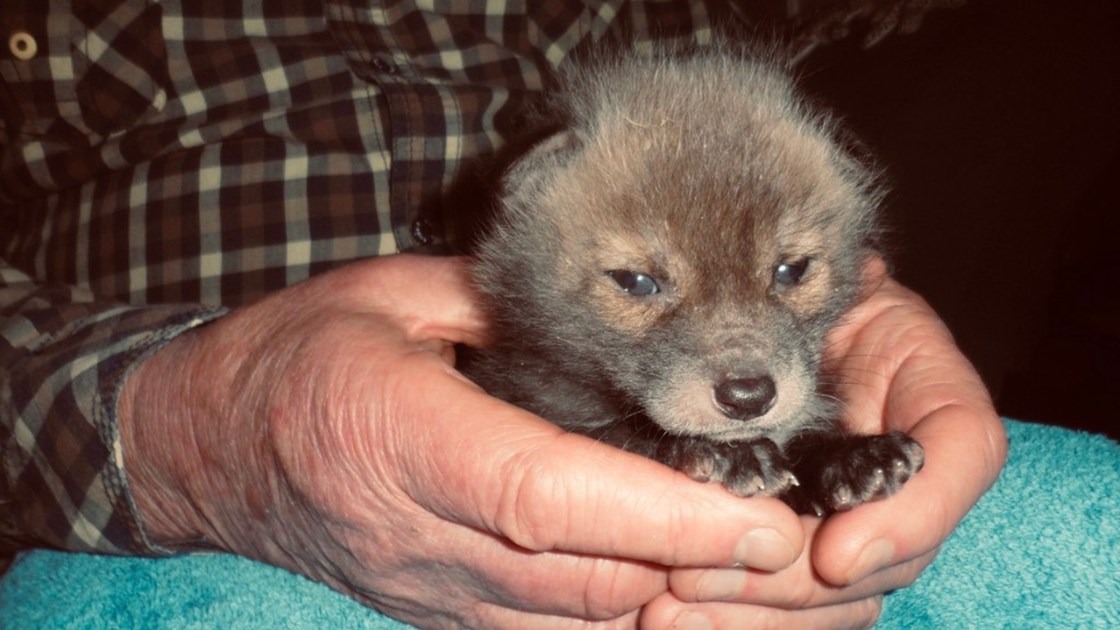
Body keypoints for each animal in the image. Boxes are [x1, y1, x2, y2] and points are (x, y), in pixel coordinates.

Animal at [458, 44, 923, 516]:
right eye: (636, 281)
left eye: (792, 269)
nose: (748, 397)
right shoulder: (532, 396)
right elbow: (620, 435)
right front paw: (722, 454)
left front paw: (853, 455)